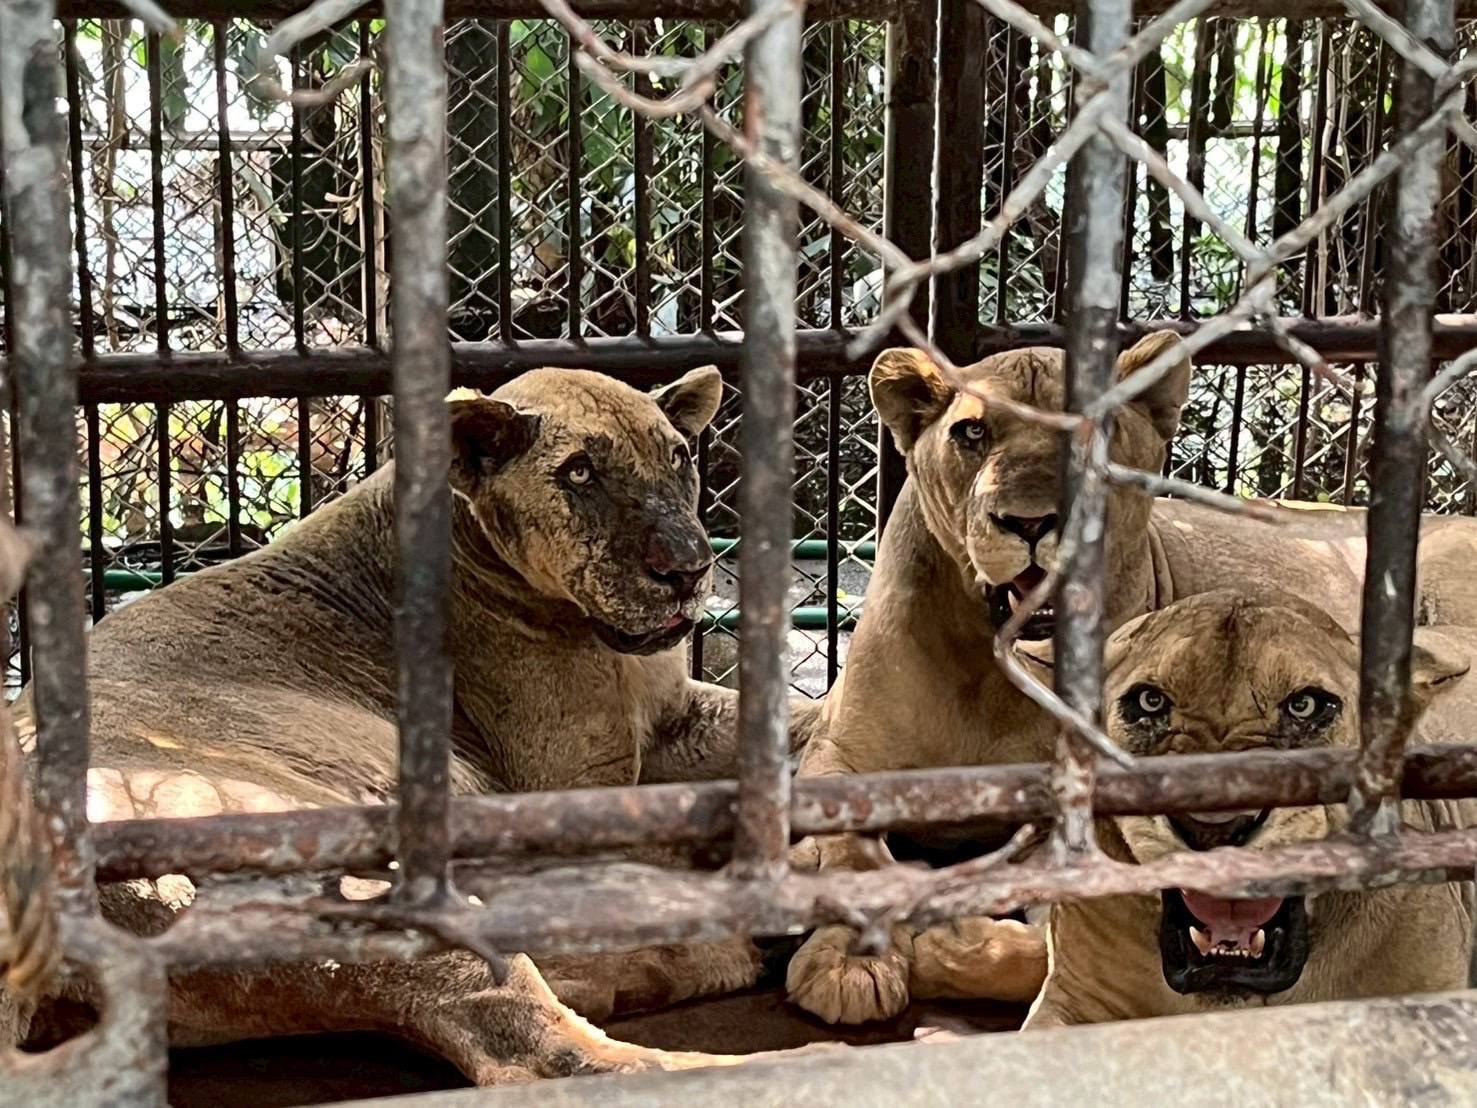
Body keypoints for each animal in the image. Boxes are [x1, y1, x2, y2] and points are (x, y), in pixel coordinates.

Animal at [11, 366, 822, 1084]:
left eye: (679, 457)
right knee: (538, 1051)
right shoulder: (579, 781)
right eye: (580, 473)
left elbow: (796, 722)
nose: (687, 567)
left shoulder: (673, 718)